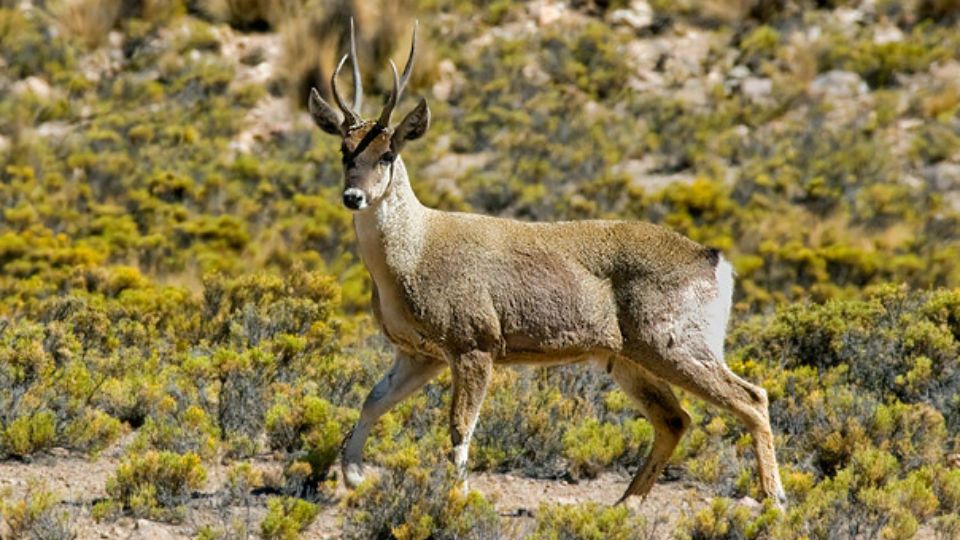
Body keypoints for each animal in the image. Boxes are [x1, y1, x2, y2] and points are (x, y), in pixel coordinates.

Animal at [307, 20, 787, 508]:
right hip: (628, 355)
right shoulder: (420, 351)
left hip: (674, 339)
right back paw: (625, 505)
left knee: (752, 397)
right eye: (345, 152)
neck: (414, 255)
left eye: (388, 154)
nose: (353, 196)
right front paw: (354, 477)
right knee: (675, 418)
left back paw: (774, 501)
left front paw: (459, 500)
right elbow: (373, 399)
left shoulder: (474, 339)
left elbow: (460, 427)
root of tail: (716, 261)